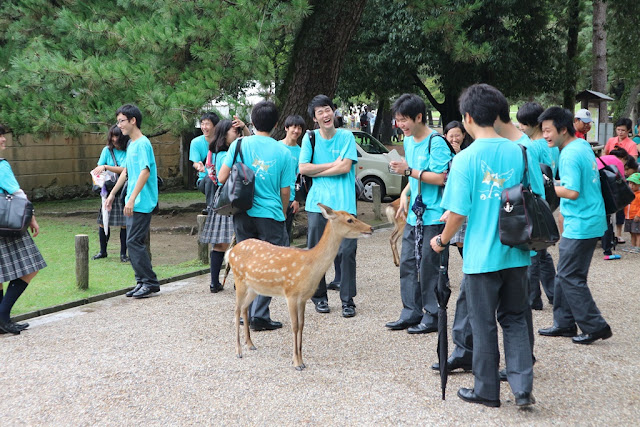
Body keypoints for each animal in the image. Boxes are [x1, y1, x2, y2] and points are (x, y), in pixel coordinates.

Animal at [226, 203, 373, 370]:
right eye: (349, 220)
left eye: (353, 215)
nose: (371, 228)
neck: (309, 265)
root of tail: (230, 251)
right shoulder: (290, 293)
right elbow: (295, 326)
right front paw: (296, 363)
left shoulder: (303, 298)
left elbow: (302, 325)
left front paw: (301, 360)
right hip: (239, 279)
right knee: (236, 310)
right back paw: (238, 351)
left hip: (254, 287)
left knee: (244, 308)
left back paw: (250, 344)